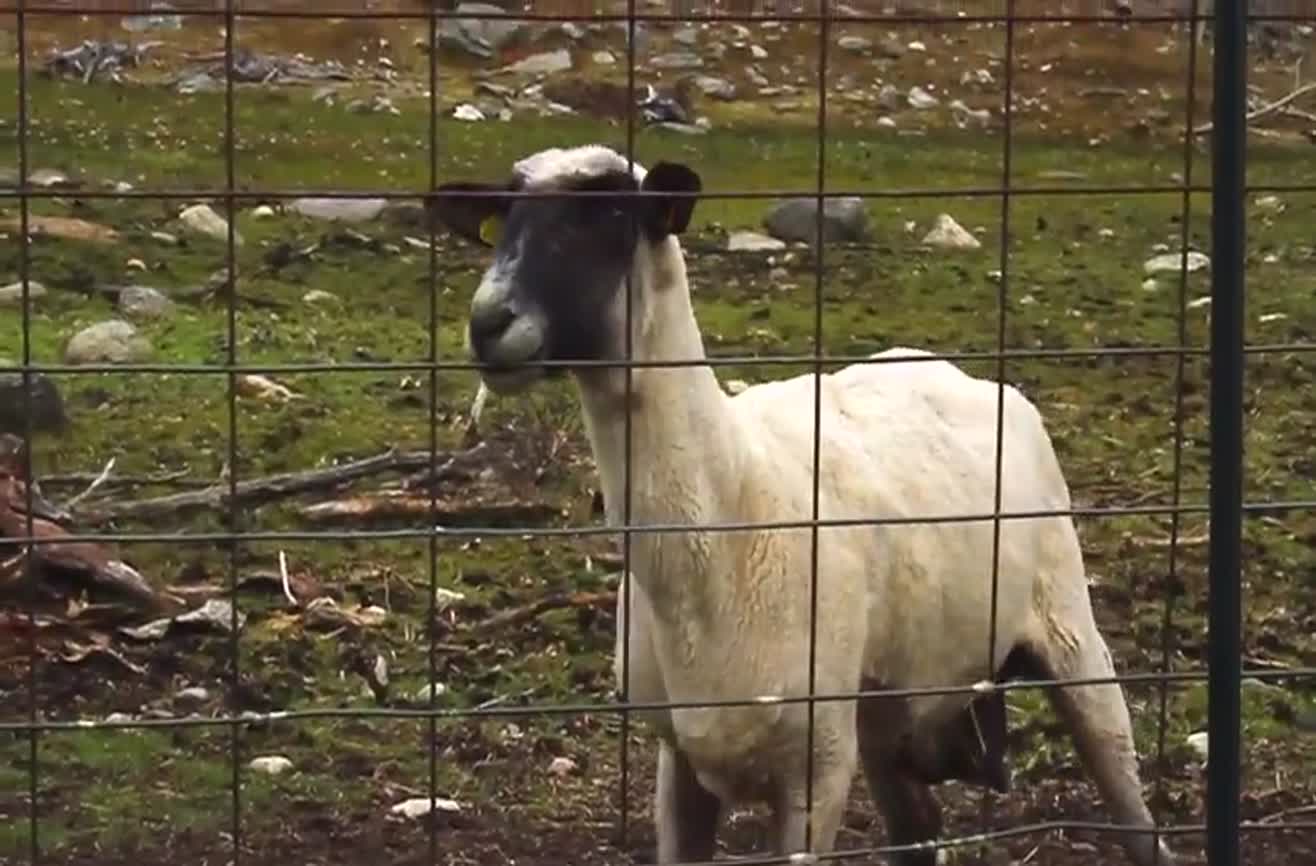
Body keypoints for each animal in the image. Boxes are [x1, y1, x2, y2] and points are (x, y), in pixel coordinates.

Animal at [427, 144, 1177, 866]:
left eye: (610, 214)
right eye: (504, 217)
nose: (488, 323)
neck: (723, 521)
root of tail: (958, 372)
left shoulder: (816, 770)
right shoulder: (681, 761)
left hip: (1068, 626)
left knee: (1134, 813)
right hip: (888, 707)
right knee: (917, 831)